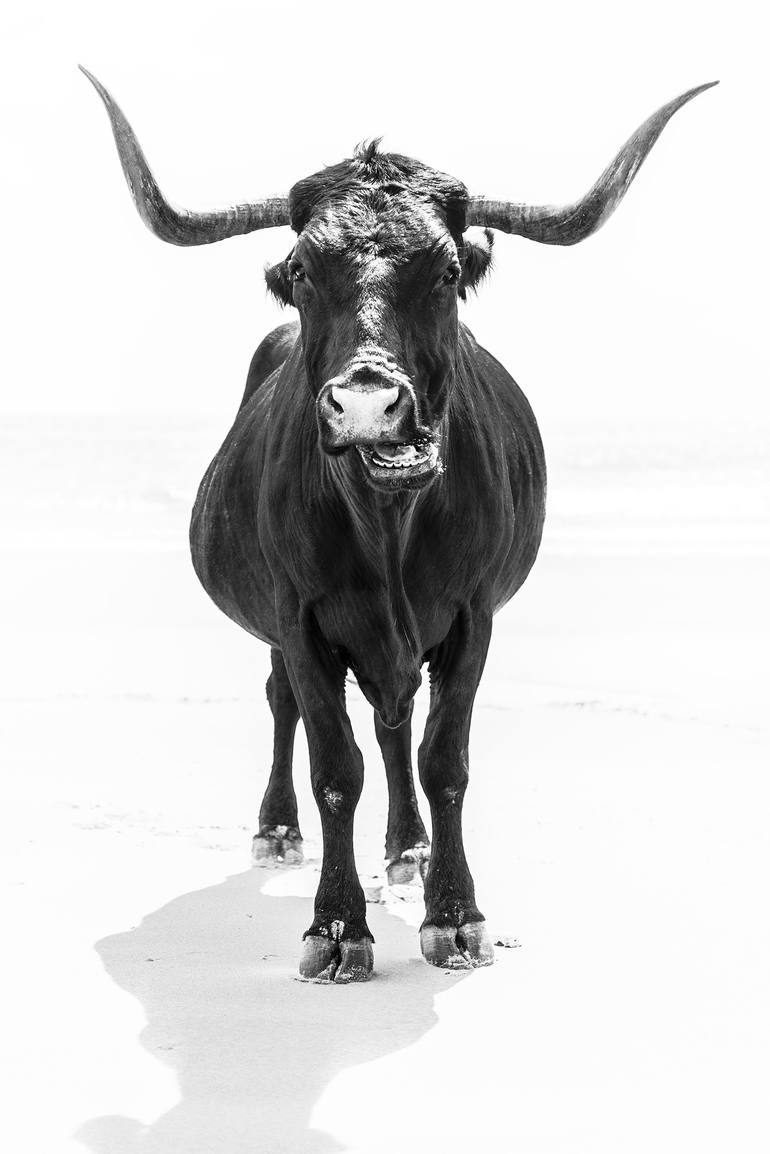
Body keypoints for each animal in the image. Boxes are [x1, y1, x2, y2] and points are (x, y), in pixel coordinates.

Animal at [82, 68, 715, 982]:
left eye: (448, 269)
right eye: (303, 270)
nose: (368, 404)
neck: (387, 521)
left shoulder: (473, 617)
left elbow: (442, 759)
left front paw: (455, 914)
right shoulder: (302, 622)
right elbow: (334, 767)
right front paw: (336, 927)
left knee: (395, 722)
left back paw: (409, 848)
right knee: (288, 706)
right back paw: (278, 830)